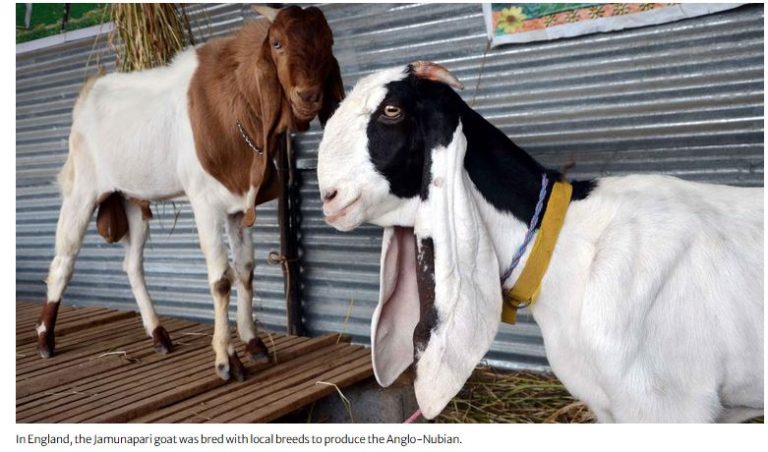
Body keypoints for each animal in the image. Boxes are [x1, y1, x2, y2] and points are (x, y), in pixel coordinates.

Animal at [37, 5, 344, 381]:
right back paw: (45, 340)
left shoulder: (237, 207)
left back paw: (158, 334)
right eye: (277, 43)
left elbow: (245, 270)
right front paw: (226, 361)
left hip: (133, 200)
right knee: (63, 260)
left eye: (328, 41)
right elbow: (221, 280)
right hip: (82, 190)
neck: (235, 106)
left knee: (131, 264)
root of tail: (90, 90)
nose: (309, 96)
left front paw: (254, 343)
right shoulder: (204, 204)